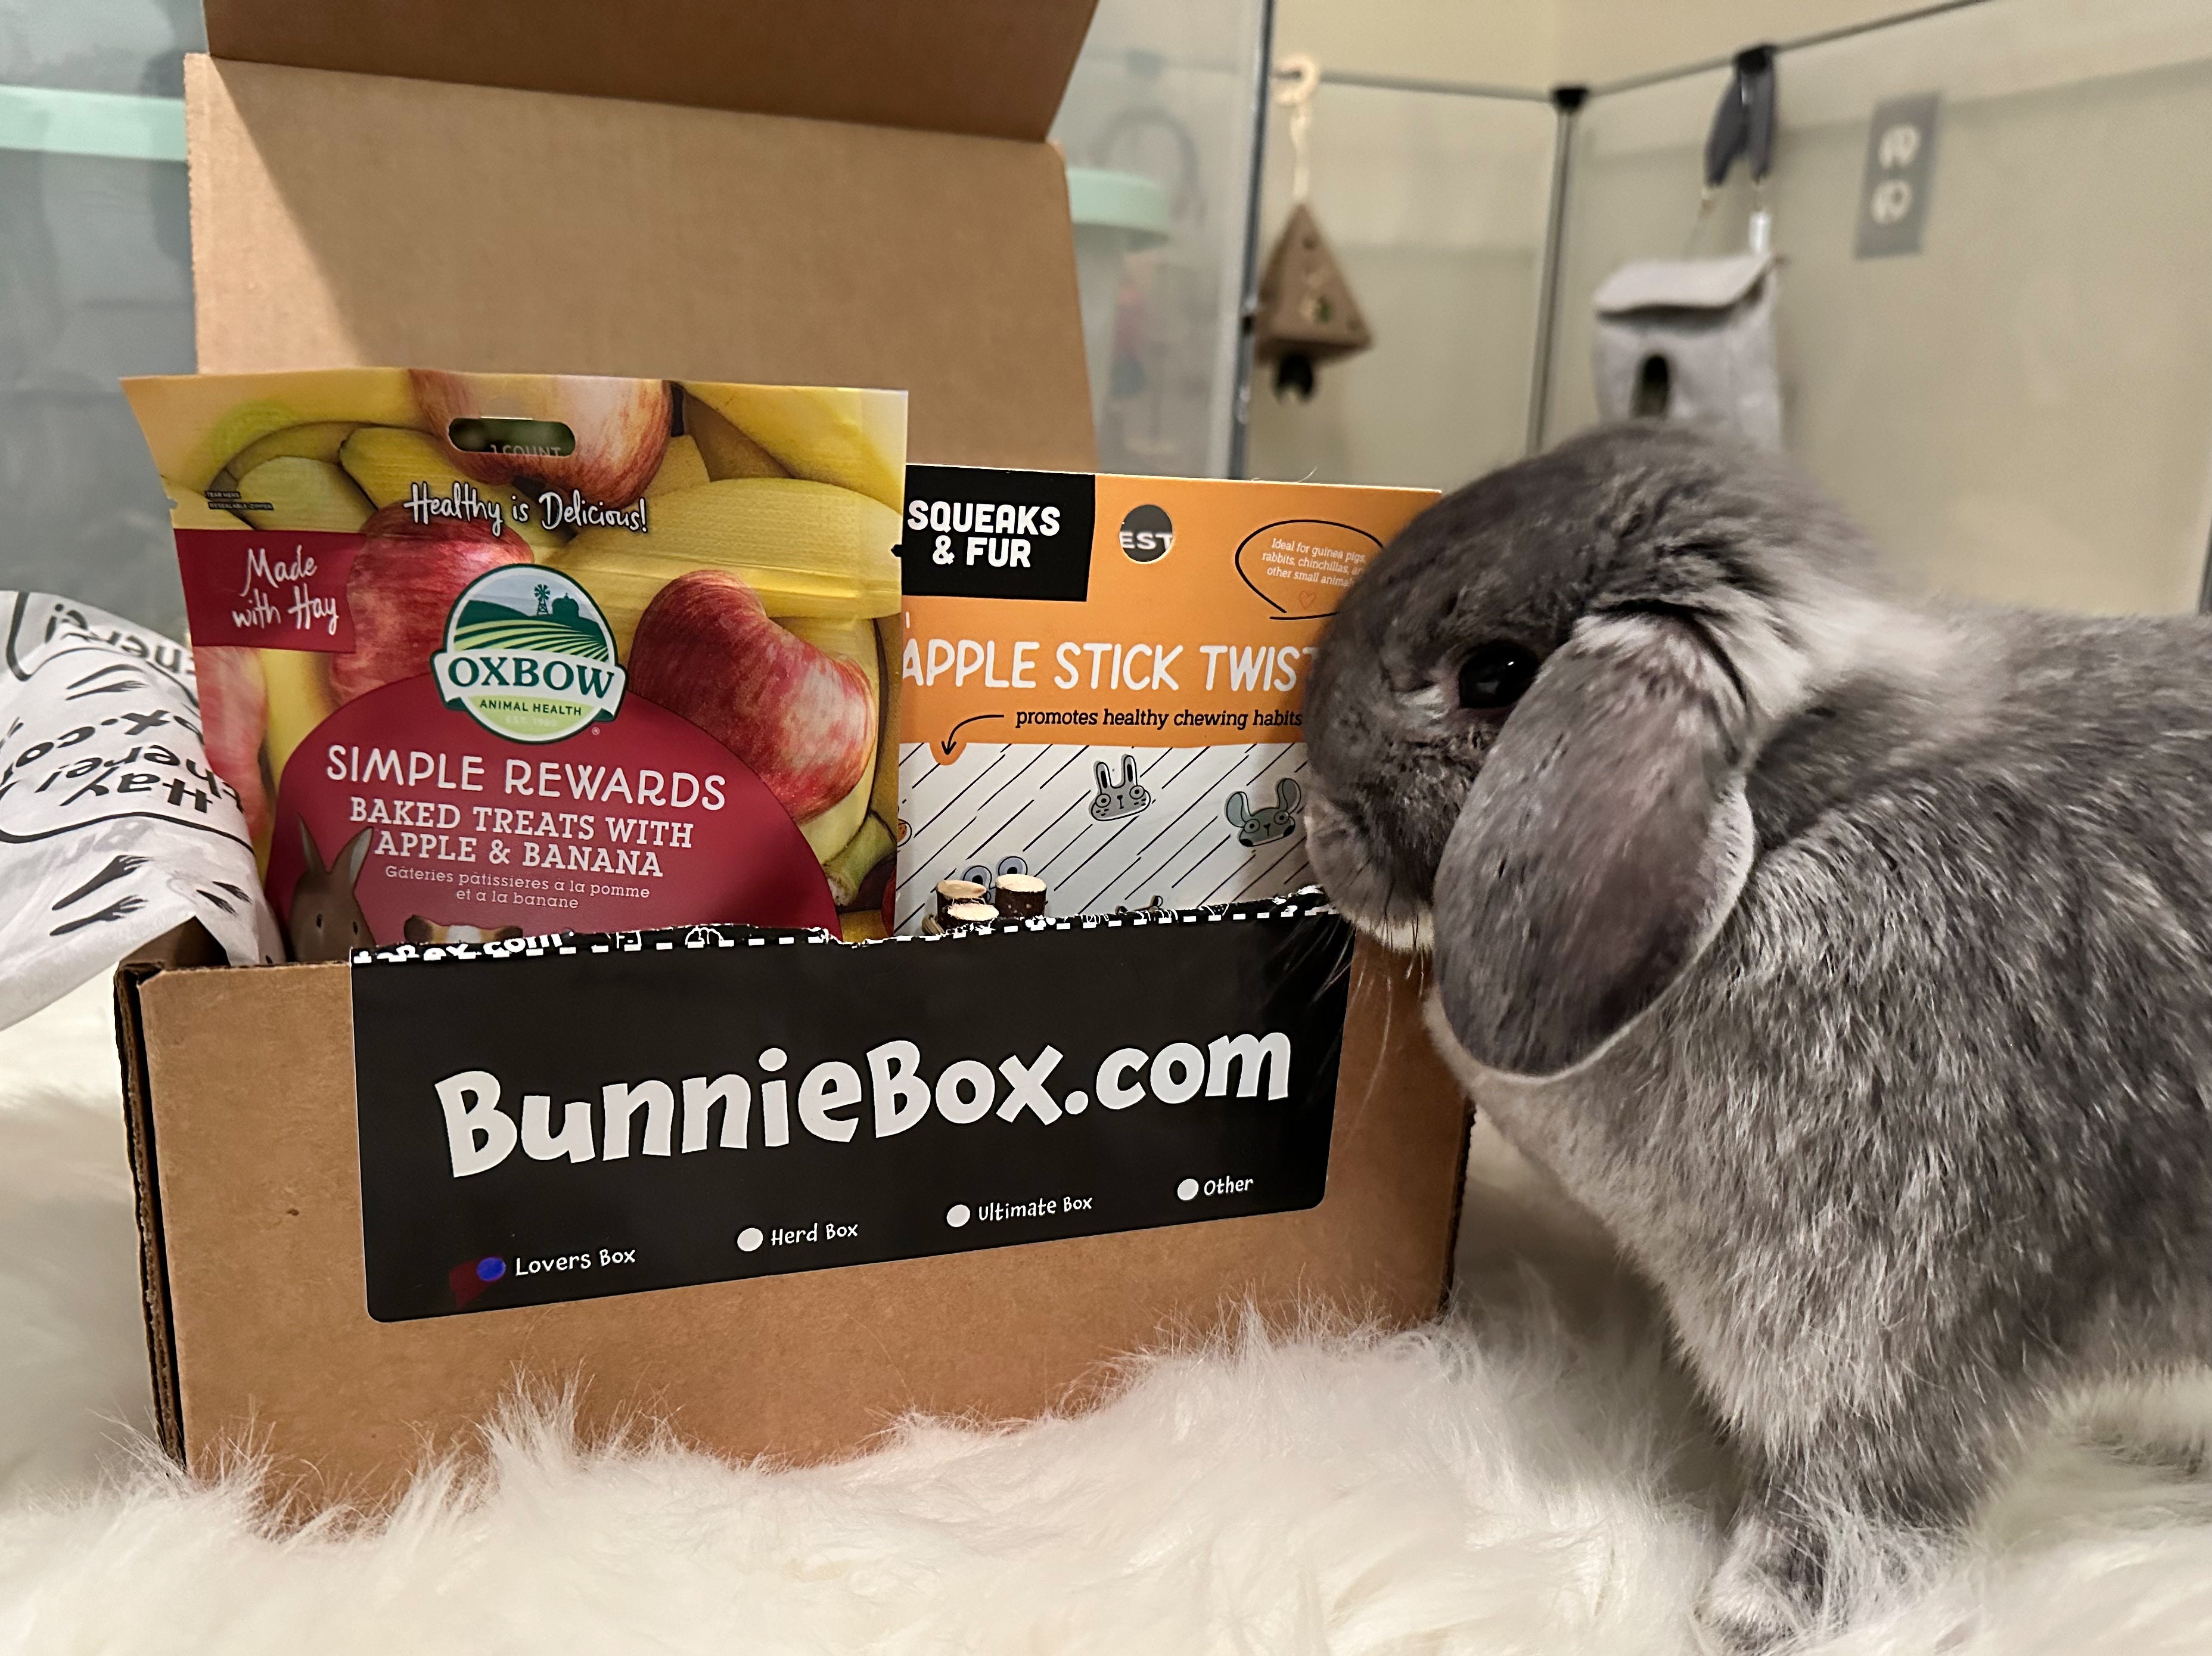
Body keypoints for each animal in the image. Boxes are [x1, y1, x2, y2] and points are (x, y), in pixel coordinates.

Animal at [1303, 418, 2212, 1650]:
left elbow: (1848, 1525)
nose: (1313, 810)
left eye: (1495, 675)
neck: (1817, 811)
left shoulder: (1881, 1371)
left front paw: (1736, 1622)